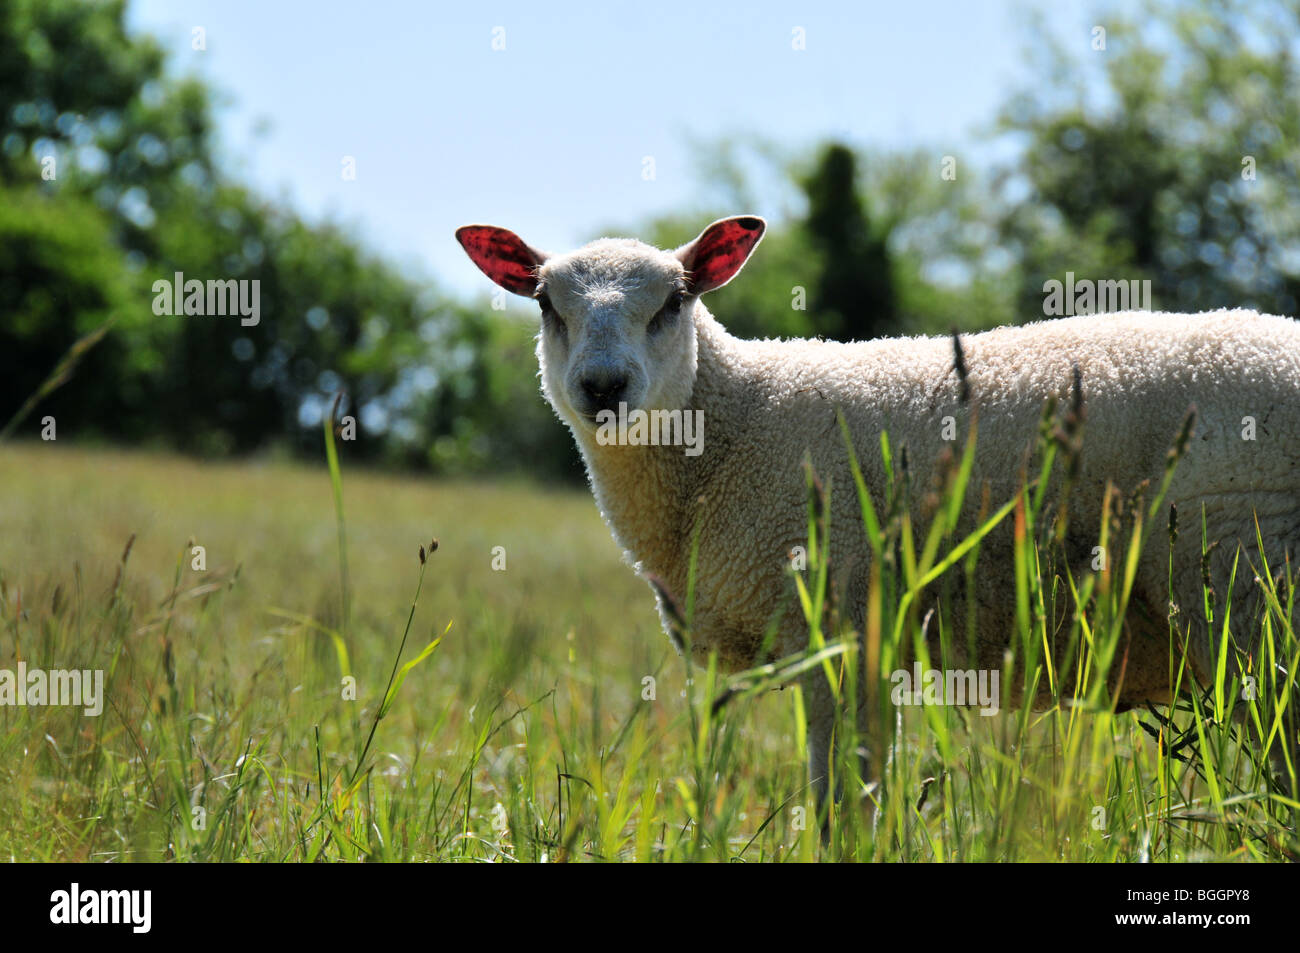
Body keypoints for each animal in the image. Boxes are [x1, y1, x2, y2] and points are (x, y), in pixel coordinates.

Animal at [455, 214, 1300, 815]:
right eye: (544, 303)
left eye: (674, 300)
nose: (603, 387)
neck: (733, 425)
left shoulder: (842, 627)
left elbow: (845, 801)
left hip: (1248, 578)